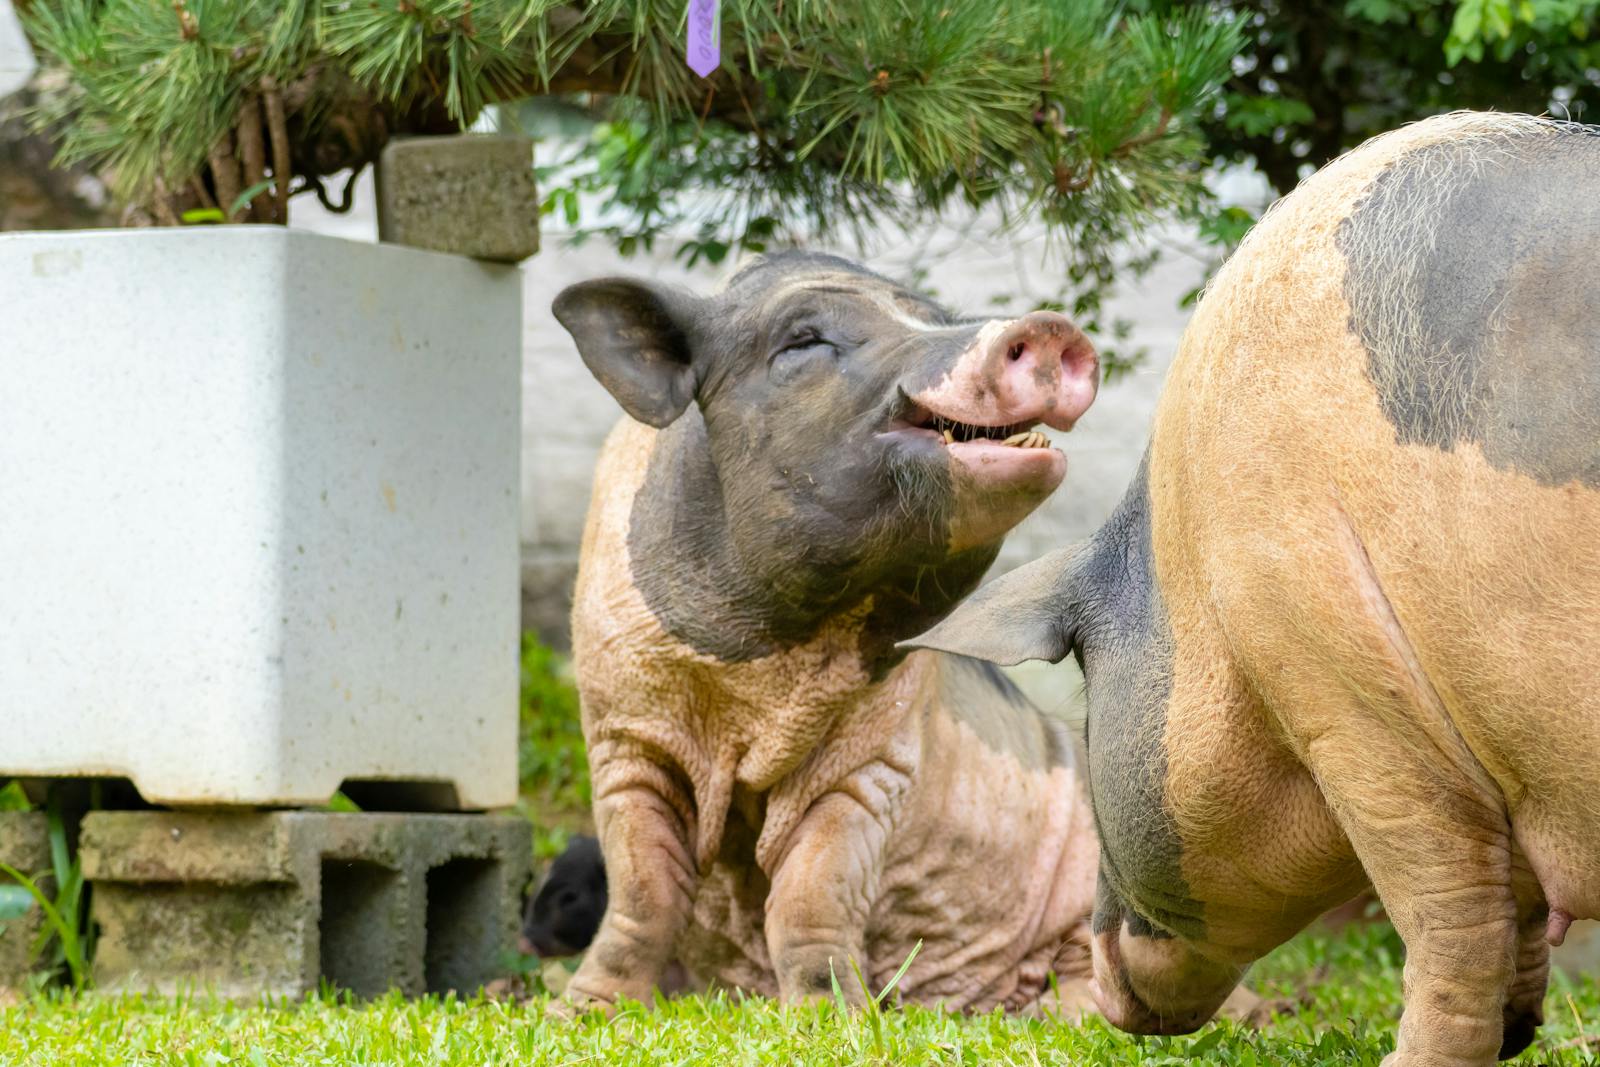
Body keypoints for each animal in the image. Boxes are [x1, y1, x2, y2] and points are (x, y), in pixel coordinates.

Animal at [549, 252, 1103, 1013]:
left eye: (935, 316)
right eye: (804, 340)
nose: (1048, 327)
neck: (754, 680)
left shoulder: (873, 762)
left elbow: (812, 891)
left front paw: (829, 1016)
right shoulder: (624, 733)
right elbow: (642, 890)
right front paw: (577, 1013)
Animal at [908, 112, 1600, 1065]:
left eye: (1084, 706)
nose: (1098, 990)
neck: (1193, 575)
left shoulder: (1344, 689)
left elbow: (1450, 912)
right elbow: (1520, 909)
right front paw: (1515, 1033)